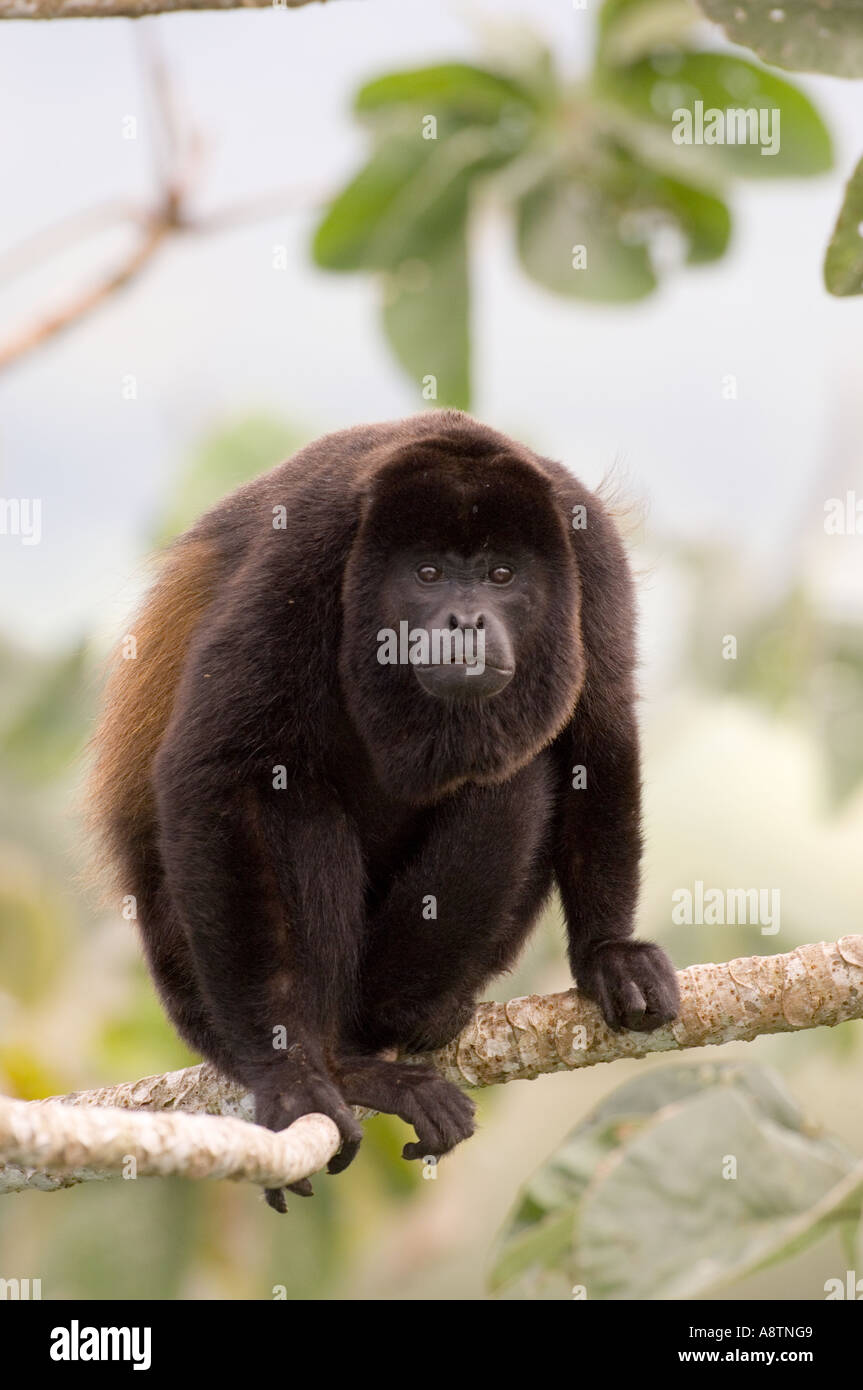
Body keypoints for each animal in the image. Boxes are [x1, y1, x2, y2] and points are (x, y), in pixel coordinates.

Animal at [87, 410, 679, 1210]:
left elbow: (600, 733)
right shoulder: (305, 549)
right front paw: (291, 1082)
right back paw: (348, 1068)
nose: (465, 621)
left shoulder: (592, 550)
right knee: (289, 801)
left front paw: (608, 953)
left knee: (522, 772)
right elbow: (217, 773)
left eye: (501, 574)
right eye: (426, 573)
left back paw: (424, 1014)